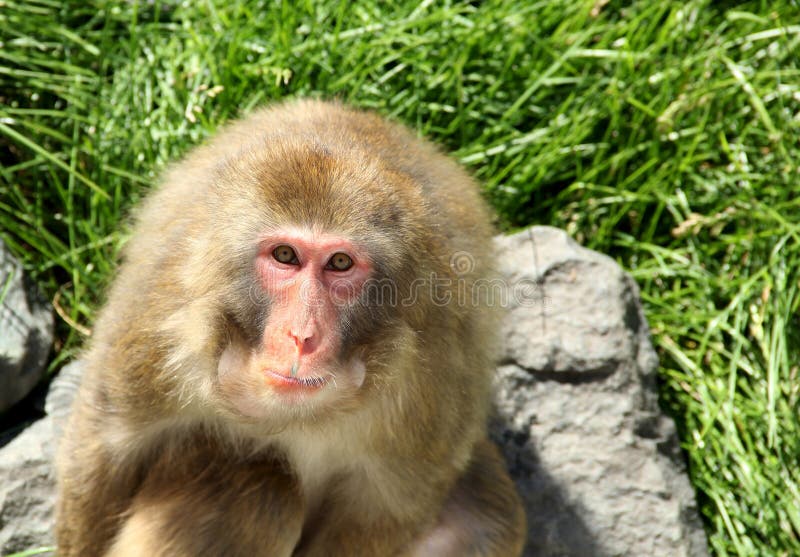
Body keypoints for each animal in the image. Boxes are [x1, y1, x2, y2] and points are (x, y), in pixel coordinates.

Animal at [55, 99, 526, 557]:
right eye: (285, 255)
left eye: (340, 263)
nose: (301, 336)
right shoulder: (162, 321)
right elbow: (109, 439)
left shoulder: (434, 379)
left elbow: (390, 509)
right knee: (261, 489)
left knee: (492, 518)